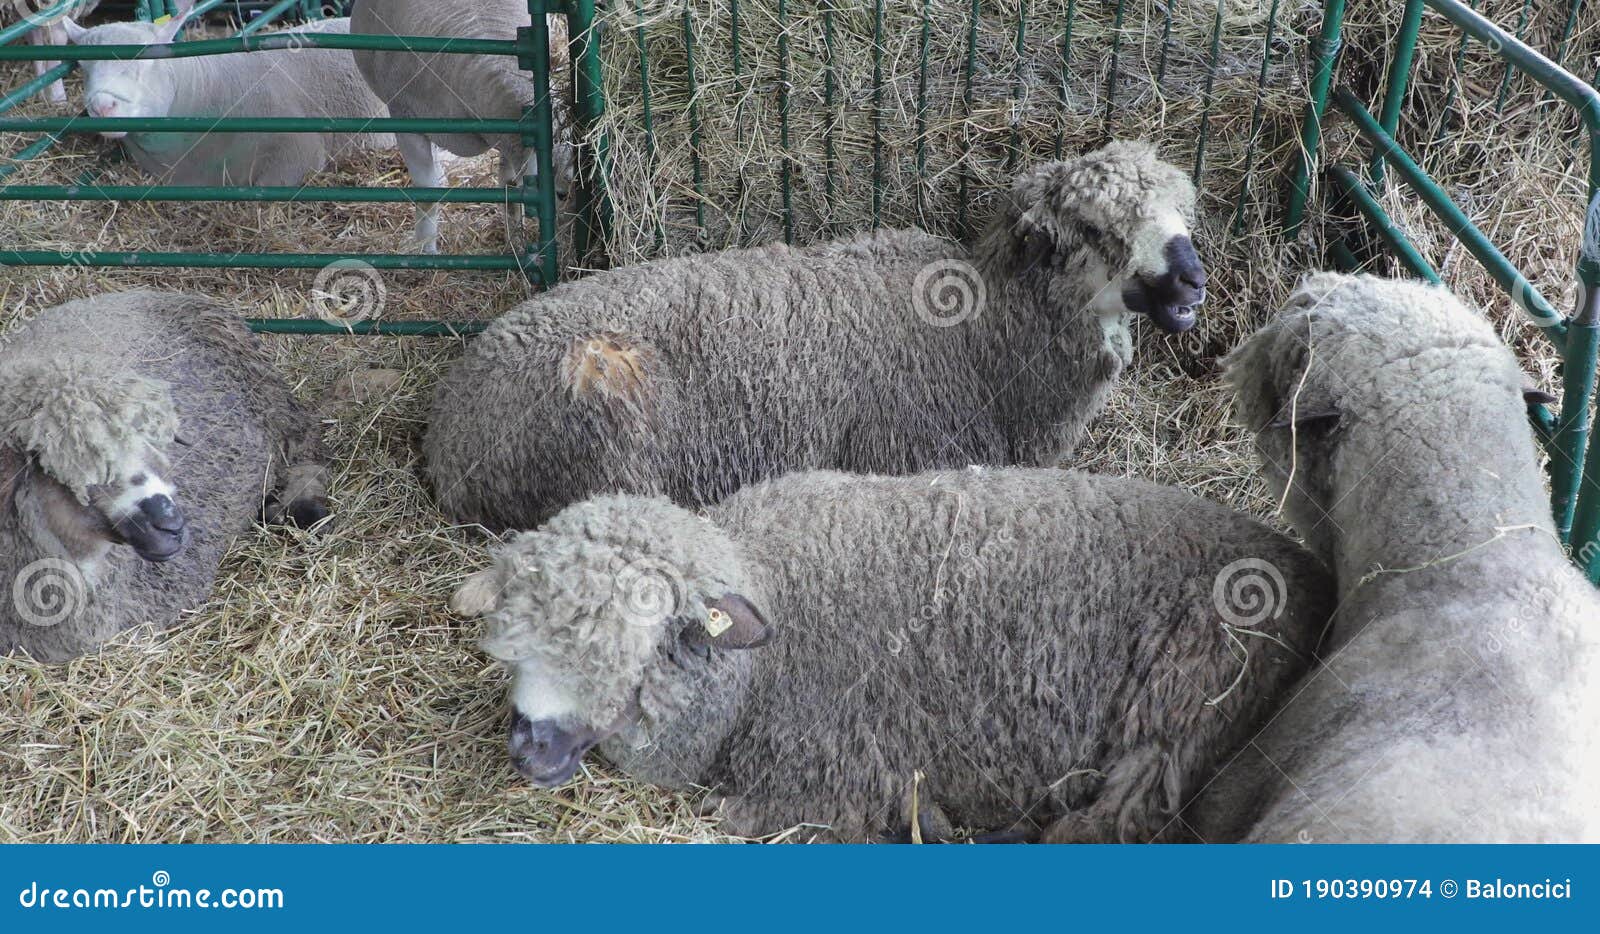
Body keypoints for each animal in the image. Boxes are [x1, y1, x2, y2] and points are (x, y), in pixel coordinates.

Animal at [350, 0, 574, 253]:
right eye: (562, 194)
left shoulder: (509, 137)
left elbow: (510, 189)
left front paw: (515, 243)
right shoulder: (406, 121)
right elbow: (426, 194)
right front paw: (428, 252)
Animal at [425, 140, 1208, 532]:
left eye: (1183, 210)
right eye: (1095, 229)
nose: (1192, 280)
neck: (984, 336)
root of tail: (445, 435)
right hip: (602, 417)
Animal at [450, 466, 1334, 842]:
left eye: (643, 643)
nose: (529, 749)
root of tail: (1305, 570)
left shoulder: (820, 778)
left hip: (1180, 713)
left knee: (1112, 822)